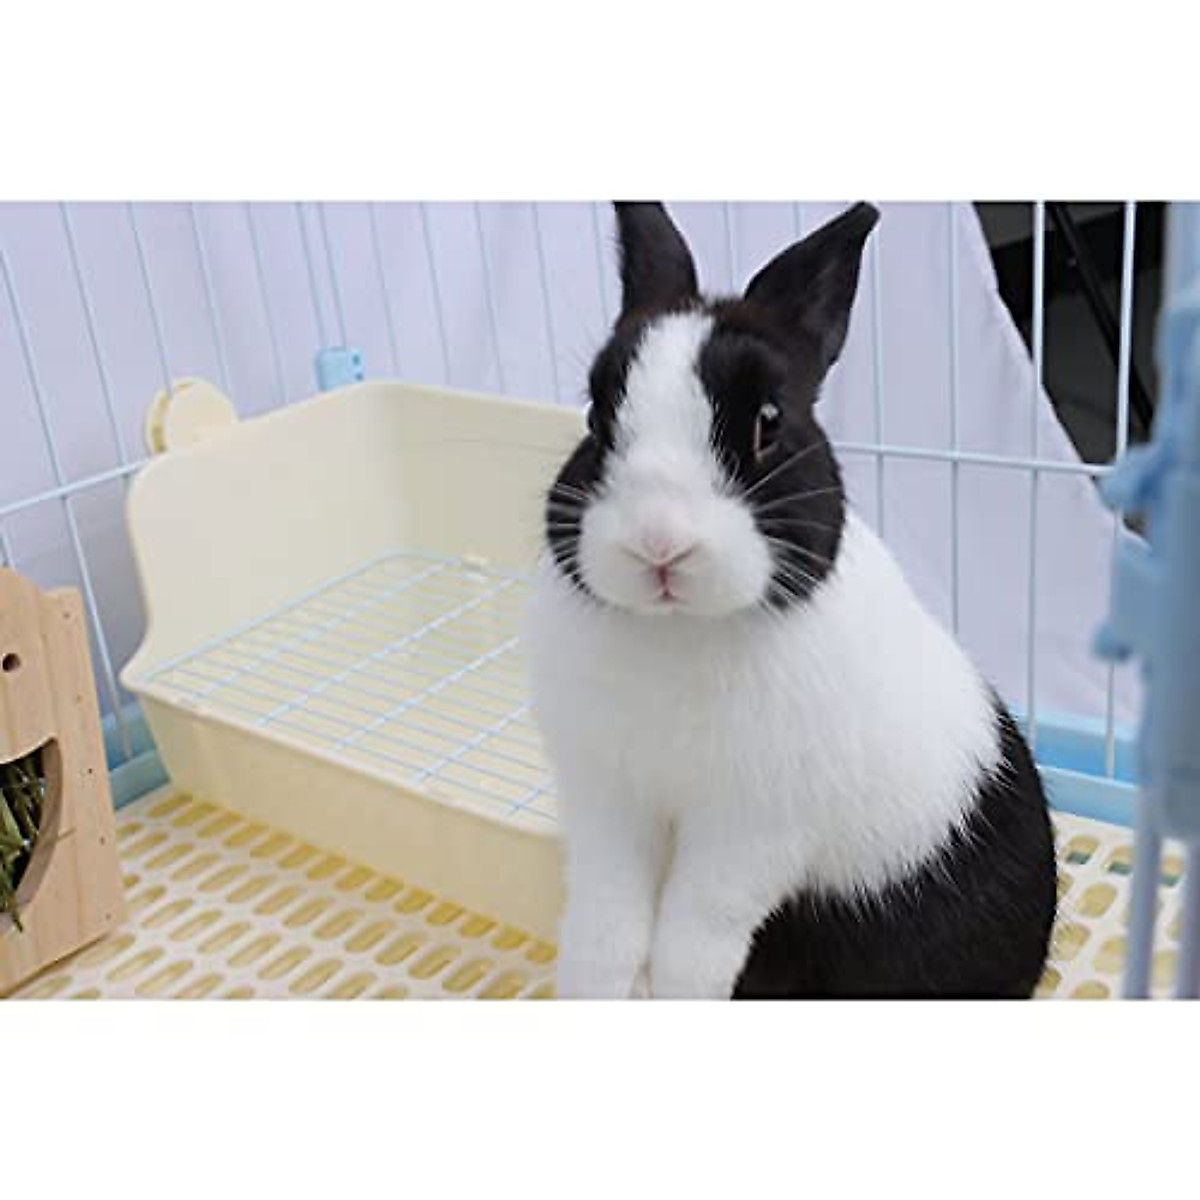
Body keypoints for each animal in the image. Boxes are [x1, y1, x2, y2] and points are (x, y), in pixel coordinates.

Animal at [524, 201, 1057, 999]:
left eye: (769, 422)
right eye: (596, 414)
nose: (659, 543)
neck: (679, 630)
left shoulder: (754, 829)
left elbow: (693, 936)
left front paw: (681, 996)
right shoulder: (609, 801)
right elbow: (605, 928)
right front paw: (595, 992)